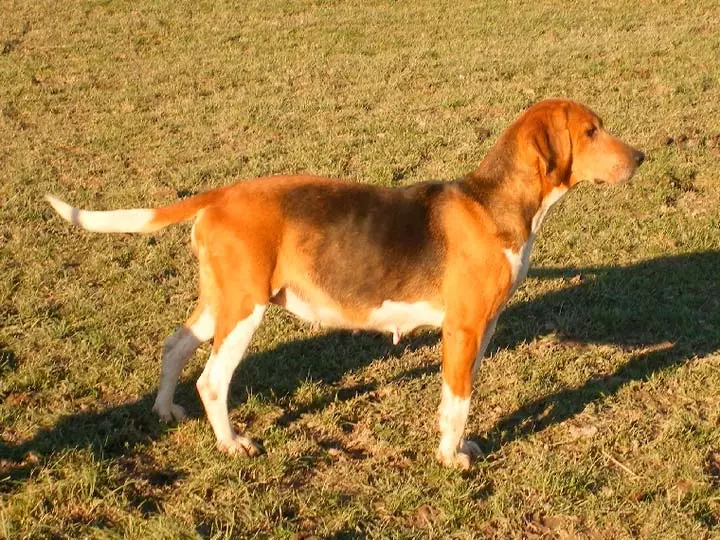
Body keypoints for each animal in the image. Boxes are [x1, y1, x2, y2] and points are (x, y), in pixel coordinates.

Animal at [45, 98, 644, 468]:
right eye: (591, 132)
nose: (640, 156)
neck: (492, 203)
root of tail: (221, 195)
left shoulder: (484, 330)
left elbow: (459, 398)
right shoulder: (465, 330)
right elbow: (458, 402)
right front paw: (451, 458)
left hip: (222, 300)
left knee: (175, 347)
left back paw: (167, 412)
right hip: (244, 311)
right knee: (213, 380)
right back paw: (232, 443)